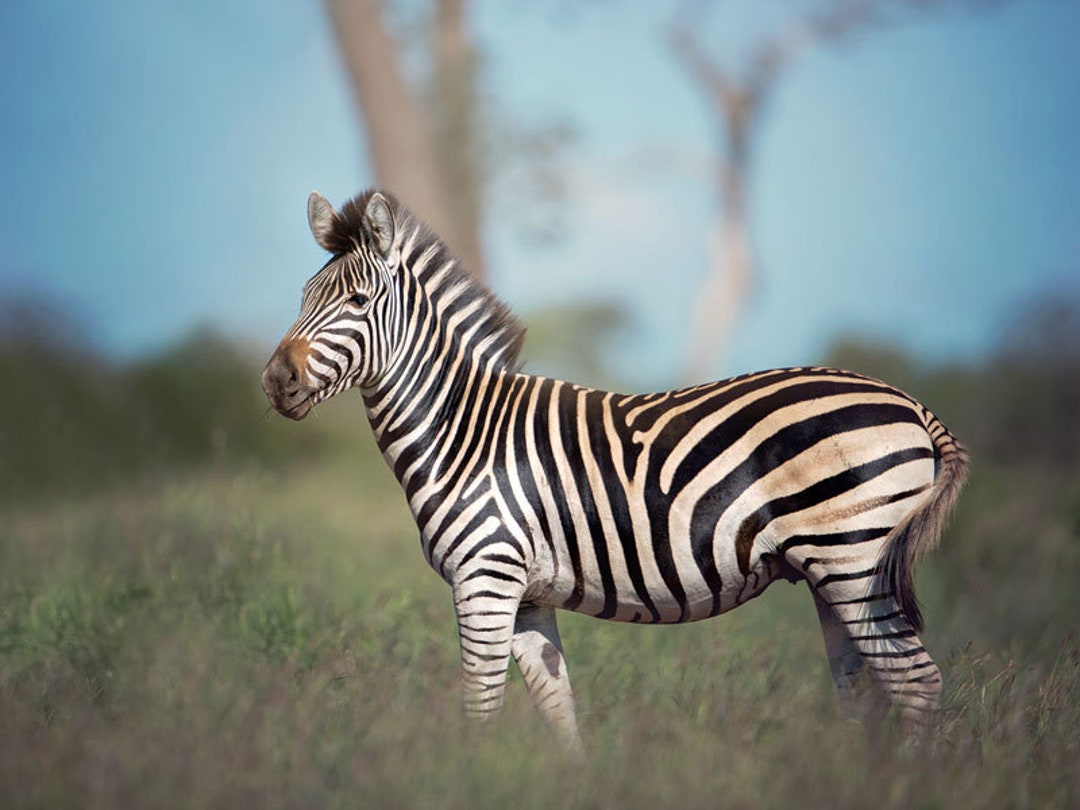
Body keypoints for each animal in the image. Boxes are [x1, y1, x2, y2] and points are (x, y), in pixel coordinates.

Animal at [262, 189, 968, 751]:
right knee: (863, 689)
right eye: (302, 297)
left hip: (853, 556)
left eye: (358, 300)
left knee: (916, 681)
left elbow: (479, 707)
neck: (461, 429)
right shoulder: (526, 595)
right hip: (833, 570)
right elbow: (558, 708)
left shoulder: (484, 579)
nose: (275, 380)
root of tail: (913, 404)